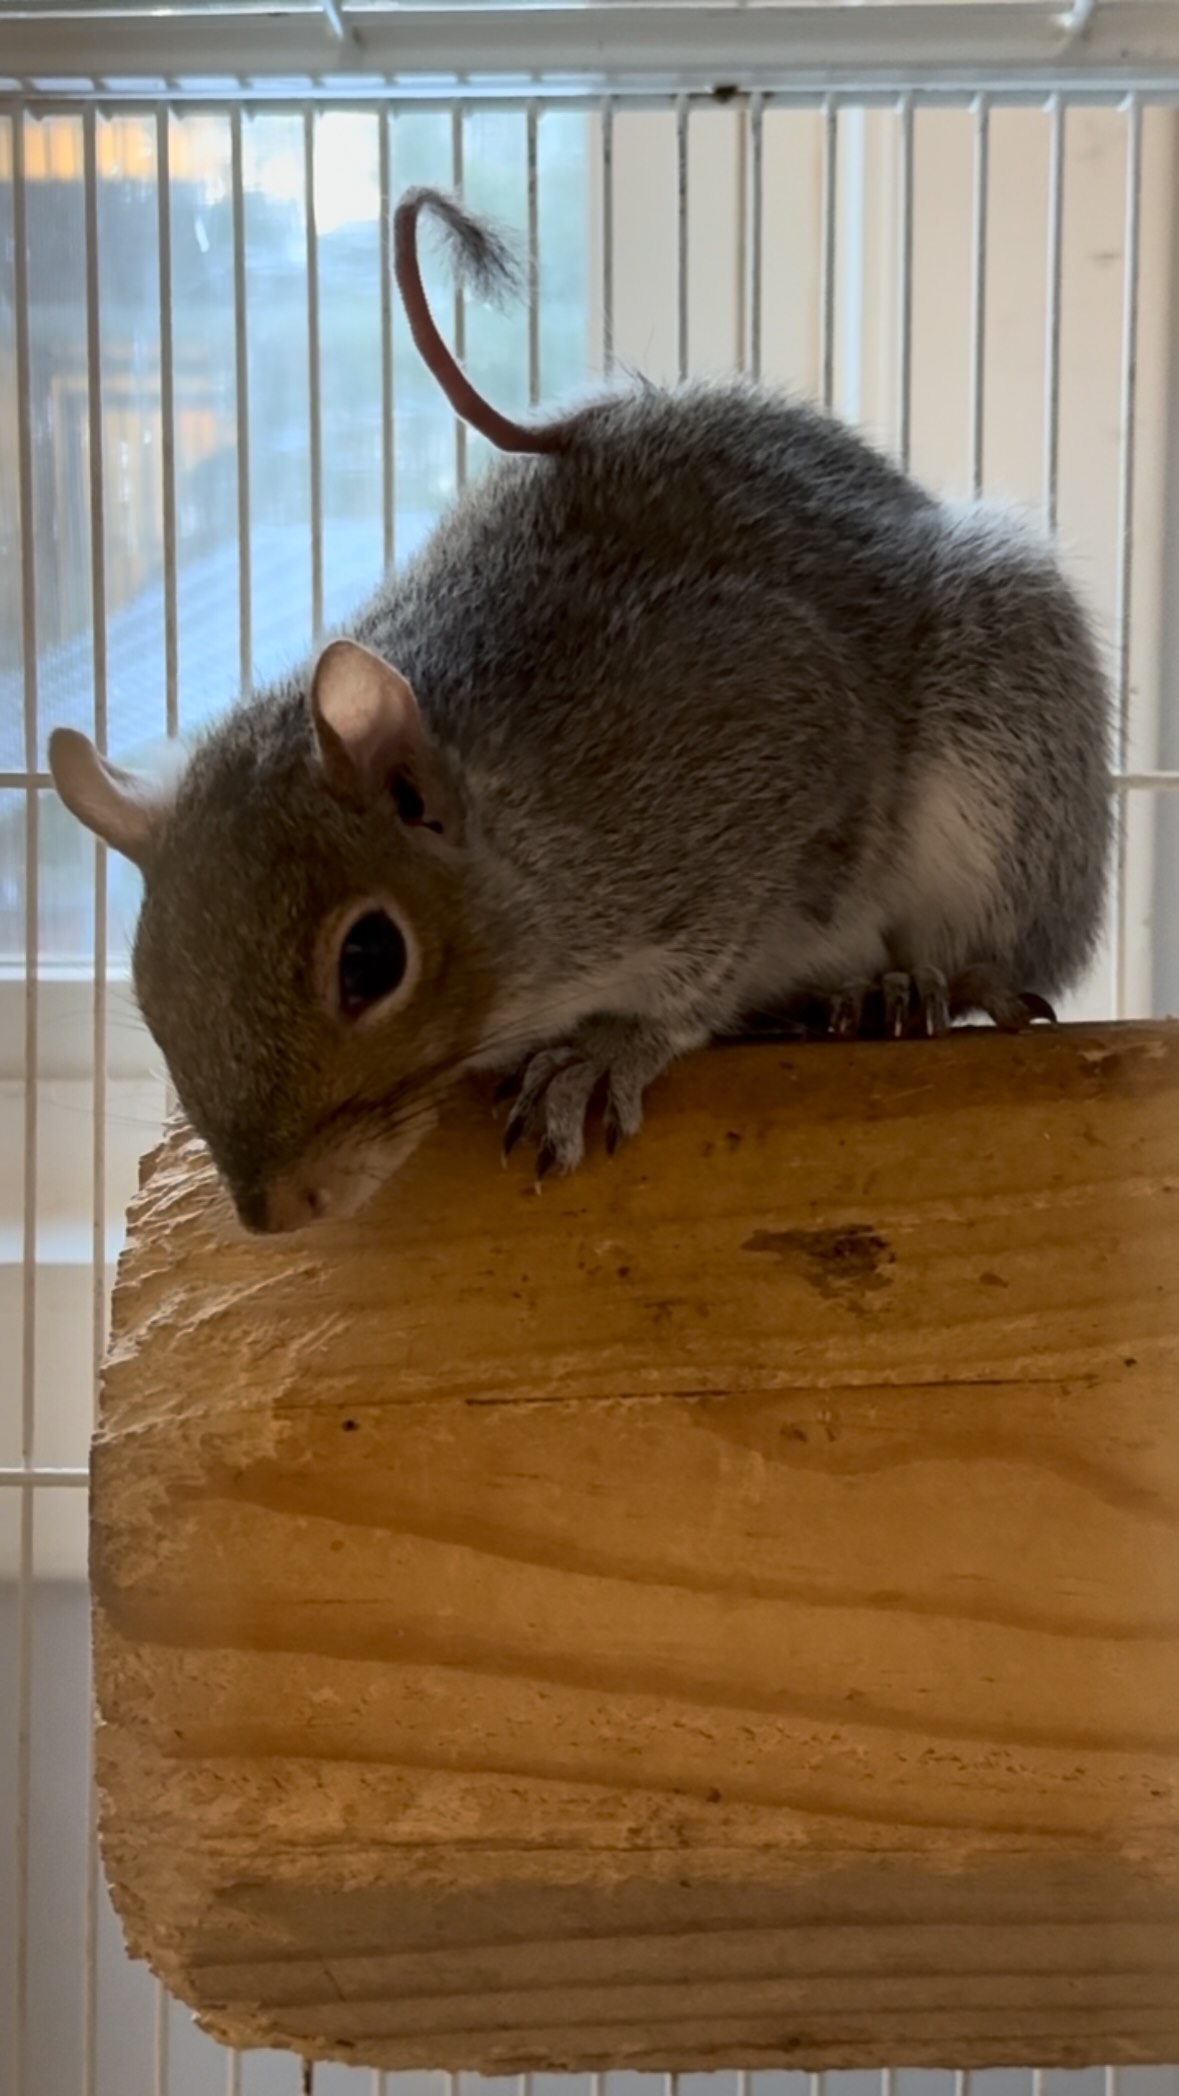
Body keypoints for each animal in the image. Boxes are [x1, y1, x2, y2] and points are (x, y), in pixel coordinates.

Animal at [49, 186, 1112, 1235]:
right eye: (148, 981)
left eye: (370, 960)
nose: (276, 1212)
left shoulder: (763, 736)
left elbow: (713, 959)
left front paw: (608, 1049)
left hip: (1009, 744)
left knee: (996, 954)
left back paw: (918, 983)